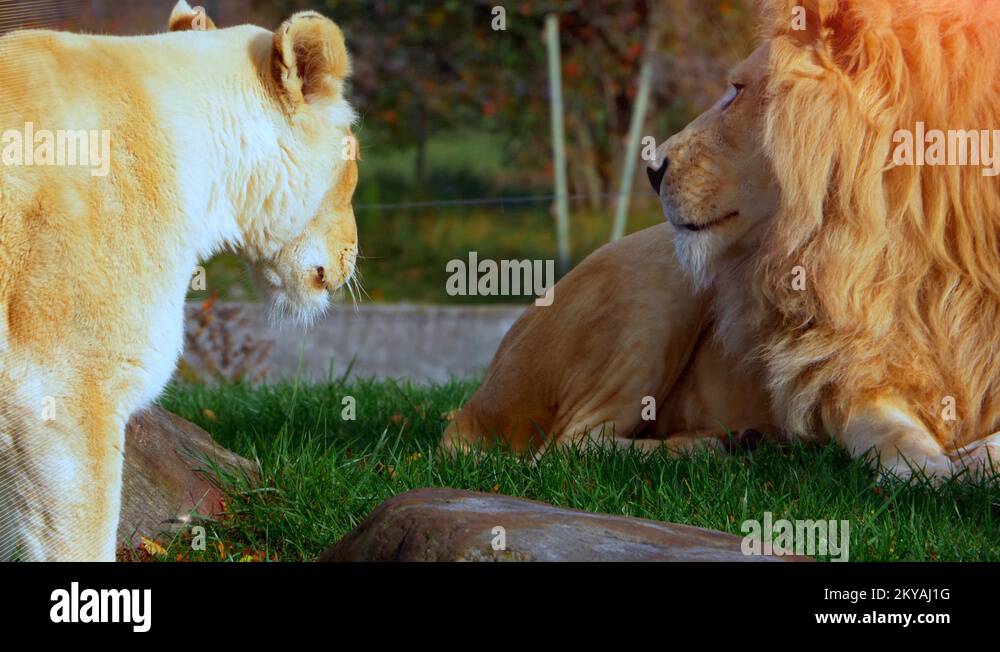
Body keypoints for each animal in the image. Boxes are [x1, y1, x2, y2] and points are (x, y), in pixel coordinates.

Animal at [444, 0, 1000, 482]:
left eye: (736, 91)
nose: (651, 169)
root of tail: (471, 406)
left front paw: (974, 459)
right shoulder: (839, 376)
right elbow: (889, 435)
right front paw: (933, 472)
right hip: (660, 285)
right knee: (568, 445)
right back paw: (717, 446)